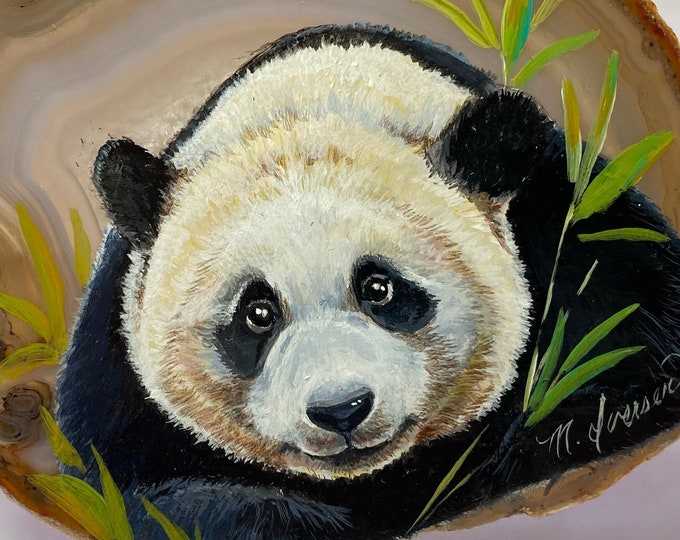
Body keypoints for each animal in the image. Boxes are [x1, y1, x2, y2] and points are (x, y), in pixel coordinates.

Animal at [57, 24, 680, 540]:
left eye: (379, 288)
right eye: (257, 313)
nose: (341, 410)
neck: (319, 96)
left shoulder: (574, 226)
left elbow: (629, 369)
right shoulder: (114, 376)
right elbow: (121, 495)